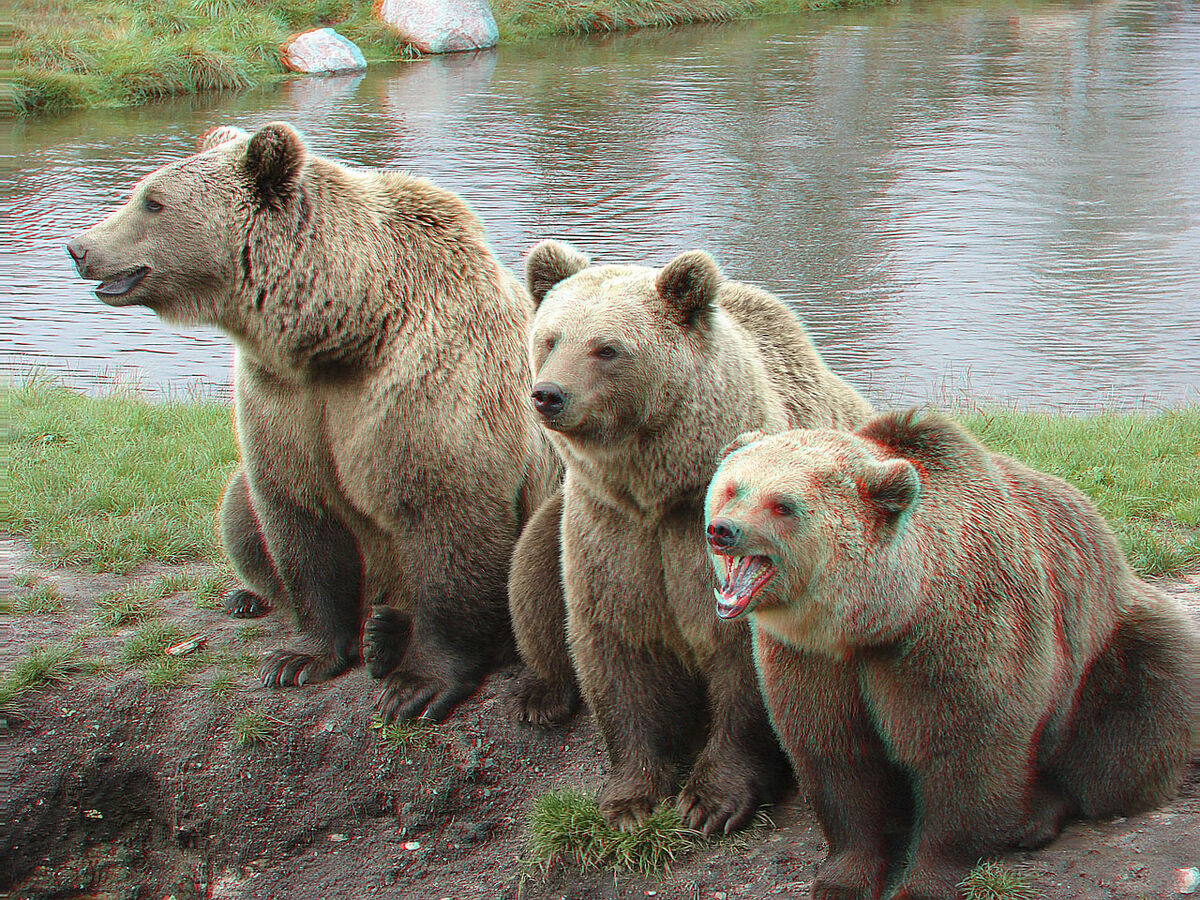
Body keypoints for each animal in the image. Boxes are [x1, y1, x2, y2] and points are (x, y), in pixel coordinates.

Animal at [66, 121, 561, 722]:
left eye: (152, 202)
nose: (79, 247)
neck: (345, 329)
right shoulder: (284, 400)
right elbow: (297, 516)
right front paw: (300, 658)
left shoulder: (428, 389)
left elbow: (446, 522)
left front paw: (416, 685)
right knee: (237, 508)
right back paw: (274, 602)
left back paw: (389, 635)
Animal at [508, 239, 873, 835]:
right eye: (550, 338)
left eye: (607, 348)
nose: (549, 395)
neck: (659, 491)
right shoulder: (612, 531)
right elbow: (616, 649)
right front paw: (630, 799)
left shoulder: (722, 540)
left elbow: (746, 663)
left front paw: (711, 800)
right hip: (556, 516)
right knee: (532, 572)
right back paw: (541, 694)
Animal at [704, 411, 1199, 900]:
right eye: (732, 488)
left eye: (783, 504)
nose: (723, 530)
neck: (876, 619)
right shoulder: (811, 659)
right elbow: (837, 757)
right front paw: (842, 879)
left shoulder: (958, 635)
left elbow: (965, 756)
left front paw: (924, 881)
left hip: (1104, 643)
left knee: (1136, 717)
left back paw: (1035, 816)